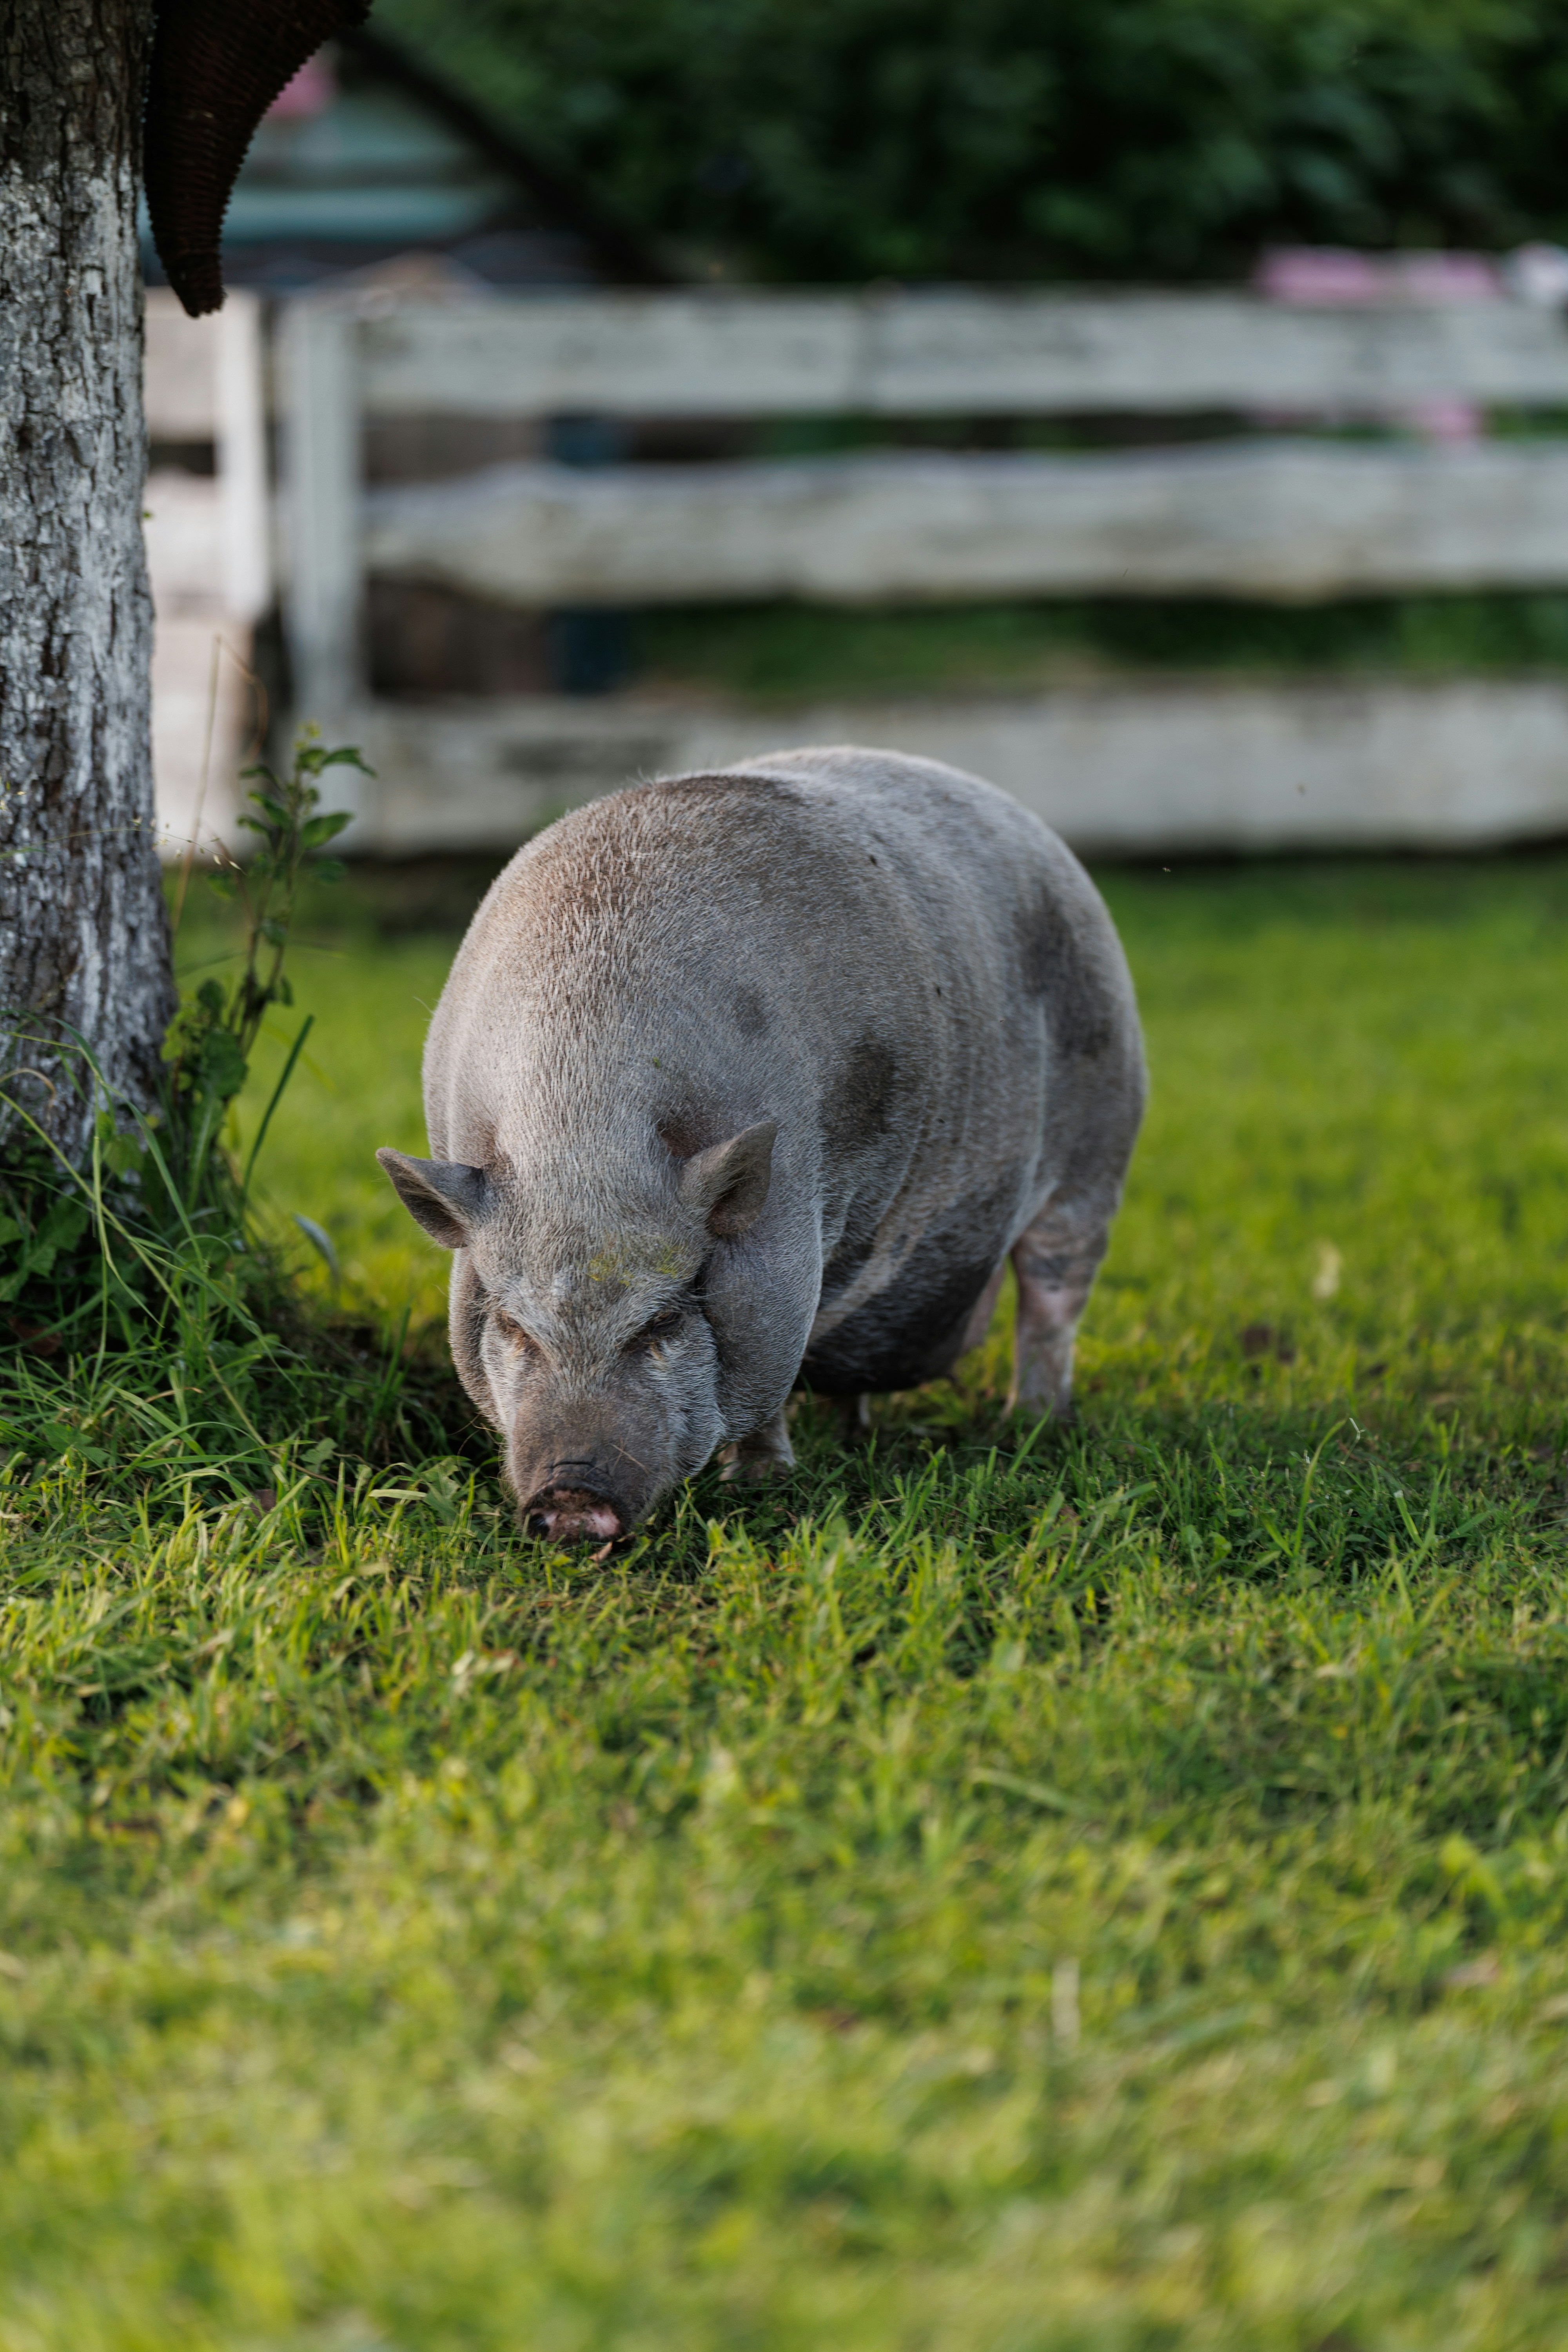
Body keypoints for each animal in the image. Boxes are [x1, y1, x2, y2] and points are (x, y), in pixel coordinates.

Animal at [377, 746, 1145, 1543]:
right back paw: (855, 1434)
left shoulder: (791, 1230)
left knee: (1053, 1298)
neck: (583, 1136)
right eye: (511, 1325)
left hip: (1101, 1141)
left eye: (663, 1320)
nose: (569, 1497)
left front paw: (759, 1483)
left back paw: (1033, 1427)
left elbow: (771, 1371)